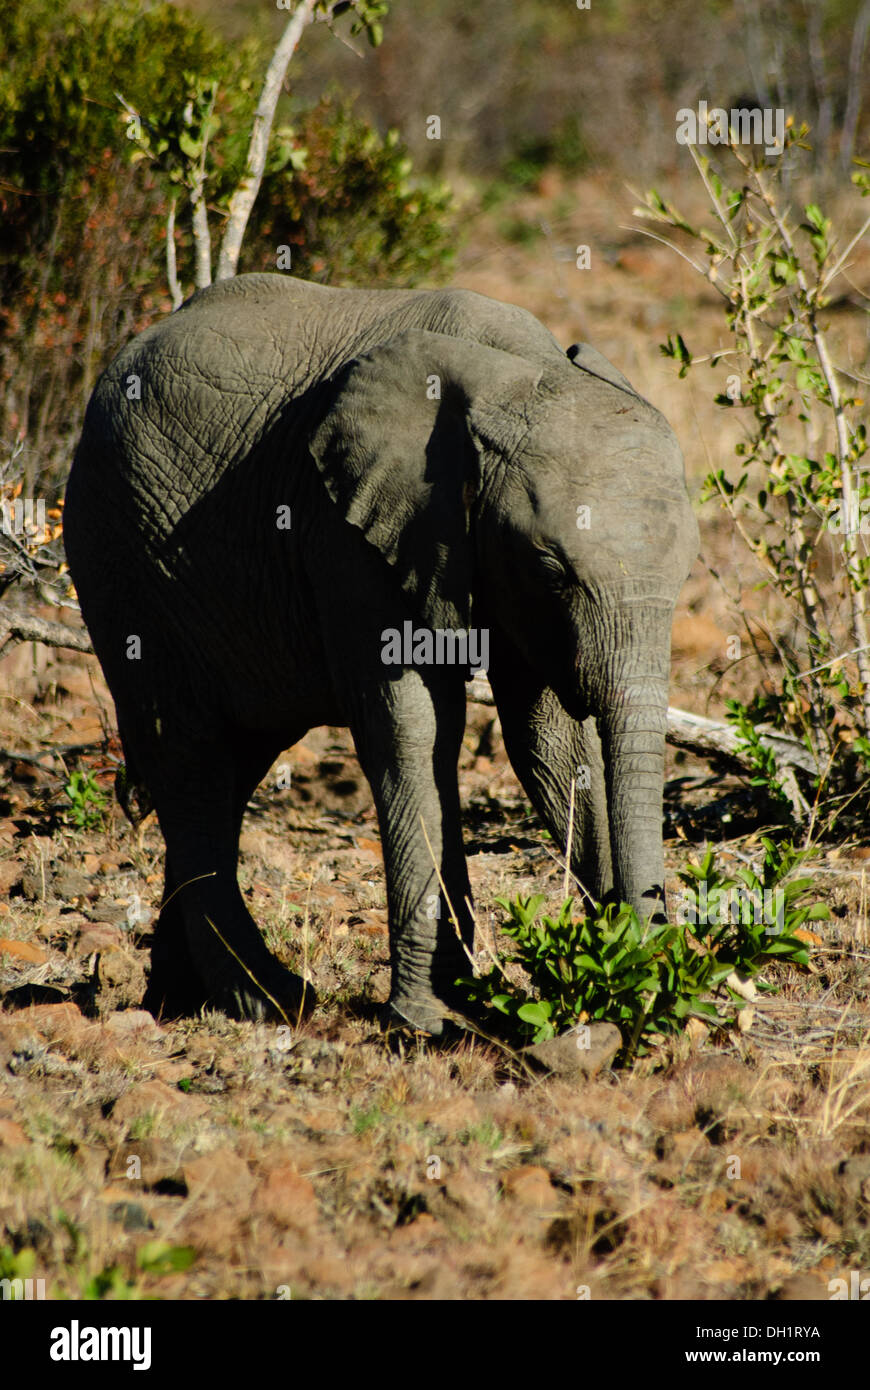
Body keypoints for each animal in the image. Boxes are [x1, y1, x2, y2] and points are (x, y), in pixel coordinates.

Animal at [63, 272, 698, 1035]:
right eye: (551, 567)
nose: (648, 949)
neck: (514, 374)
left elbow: (546, 738)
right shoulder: (345, 530)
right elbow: (413, 729)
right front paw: (430, 1018)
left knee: (228, 767)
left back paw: (179, 999)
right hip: (122, 557)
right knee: (190, 761)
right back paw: (266, 1001)